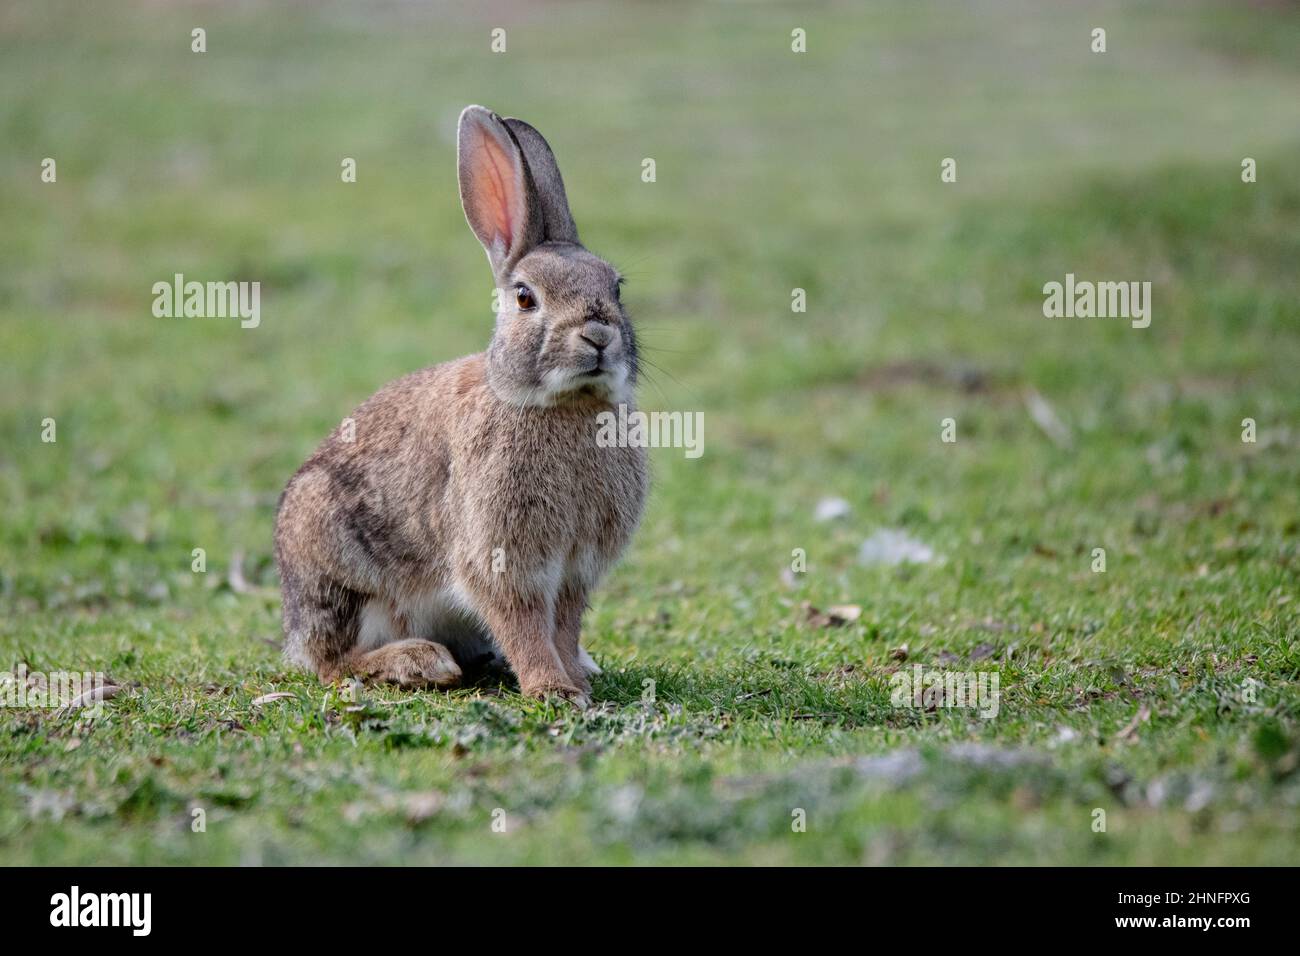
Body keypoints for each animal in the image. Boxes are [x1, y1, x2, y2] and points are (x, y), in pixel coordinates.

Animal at [273, 105, 648, 708]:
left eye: (616, 287)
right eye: (525, 297)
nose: (597, 335)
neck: (562, 405)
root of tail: (293, 630)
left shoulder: (573, 568)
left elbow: (563, 625)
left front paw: (575, 678)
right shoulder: (502, 553)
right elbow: (523, 621)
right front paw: (553, 690)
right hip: (340, 572)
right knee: (334, 663)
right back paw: (417, 662)